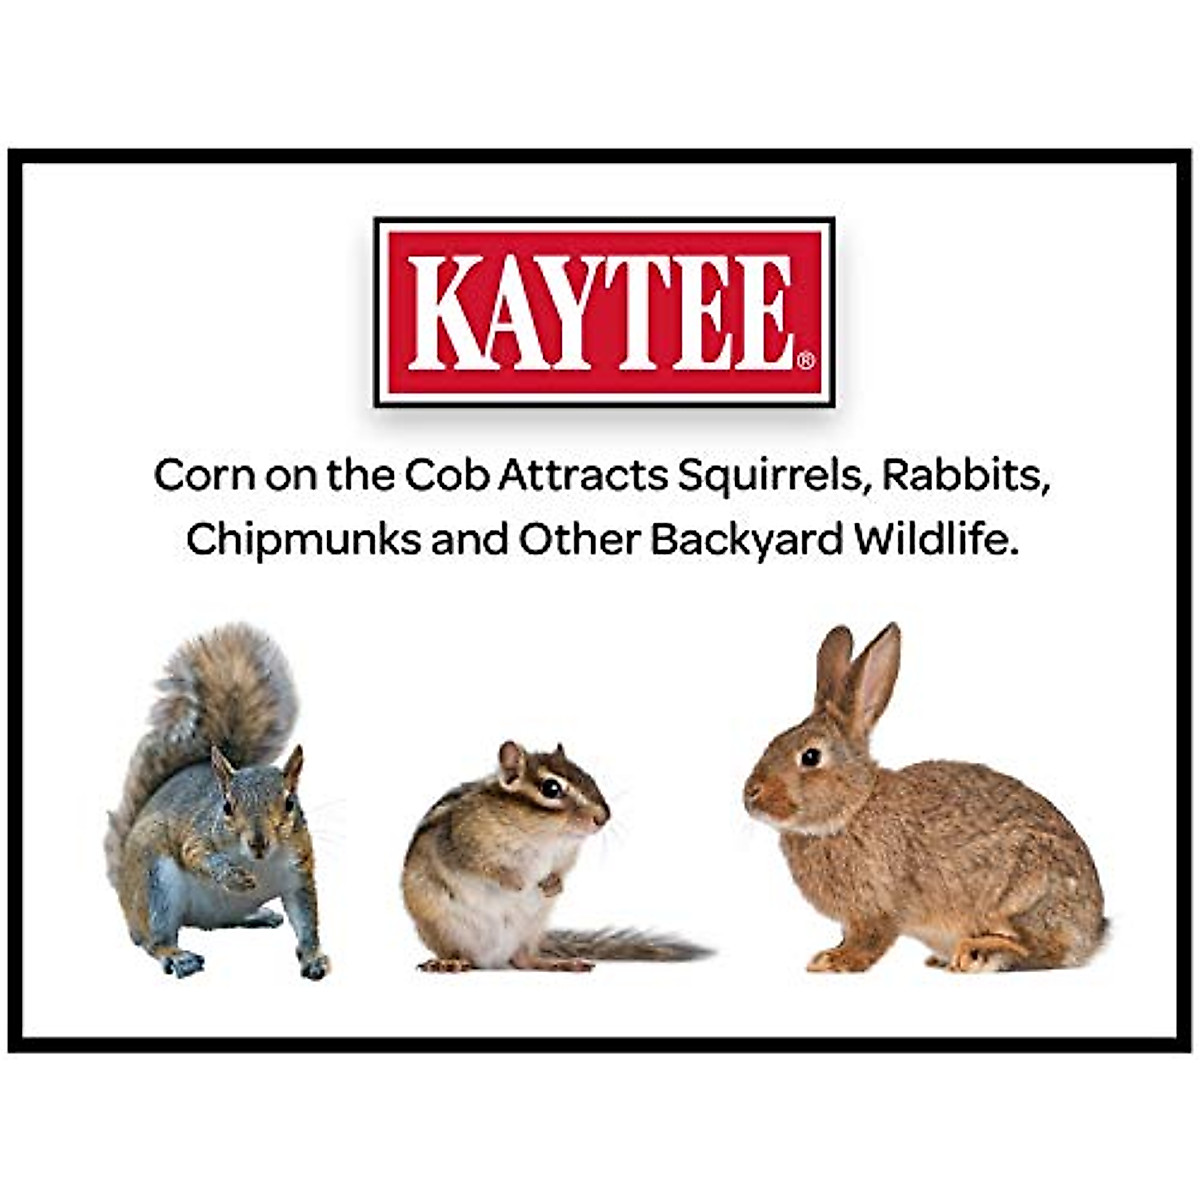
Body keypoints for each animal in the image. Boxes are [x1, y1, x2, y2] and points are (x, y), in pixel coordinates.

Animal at [105, 623, 331, 981]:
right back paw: (177, 955)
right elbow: (196, 855)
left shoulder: (299, 871)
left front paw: (313, 957)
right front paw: (232, 876)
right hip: (155, 885)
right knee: (154, 940)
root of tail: (125, 891)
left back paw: (257, 915)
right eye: (226, 807)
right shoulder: (196, 834)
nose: (258, 843)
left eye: (289, 804)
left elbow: (307, 921)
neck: (259, 862)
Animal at [402, 740, 711, 971]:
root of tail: (491, 958)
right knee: (458, 952)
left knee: (523, 960)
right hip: (442, 927)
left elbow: (562, 869)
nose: (603, 817)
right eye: (551, 788)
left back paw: (558, 963)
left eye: (589, 777)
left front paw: (553, 884)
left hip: (530, 930)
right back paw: (450, 962)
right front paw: (514, 881)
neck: (544, 838)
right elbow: (482, 866)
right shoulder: (461, 842)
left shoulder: (566, 855)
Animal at [743, 622, 1106, 973]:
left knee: (1044, 951)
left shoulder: (877, 908)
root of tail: (1093, 931)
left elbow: (869, 941)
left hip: (1024, 895)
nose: (750, 795)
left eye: (810, 757)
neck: (854, 807)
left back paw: (979, 954)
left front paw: (834, 960)